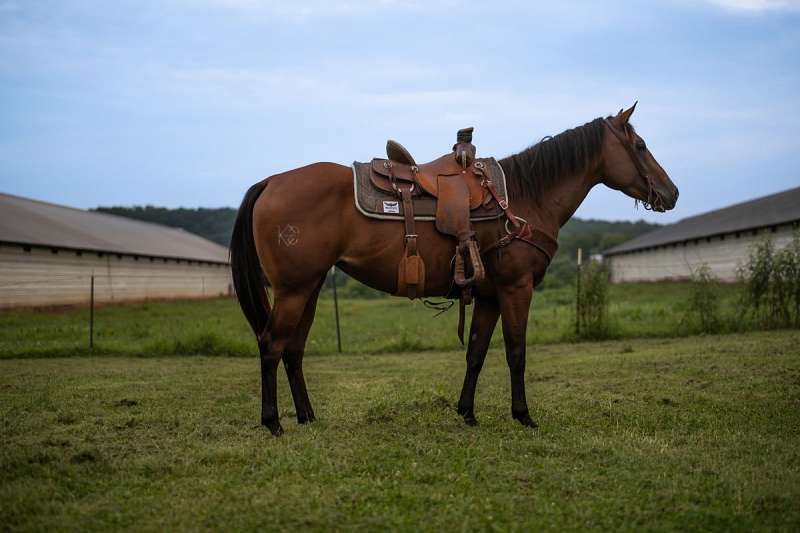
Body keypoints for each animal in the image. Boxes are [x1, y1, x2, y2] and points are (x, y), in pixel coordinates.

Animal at [229, 103, 678, 436]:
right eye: (640, 145)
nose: (671, 193)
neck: (524, 199)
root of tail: (271, 182)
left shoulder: (490, 295)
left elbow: (476, 352)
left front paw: (467, 412)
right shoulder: (517, 289)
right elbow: (516, 352)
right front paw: (524, 416)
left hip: (310, 287)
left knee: (293, 350)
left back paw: (307, 417)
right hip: (293, 289)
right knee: (271, 345)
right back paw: (273, 423)